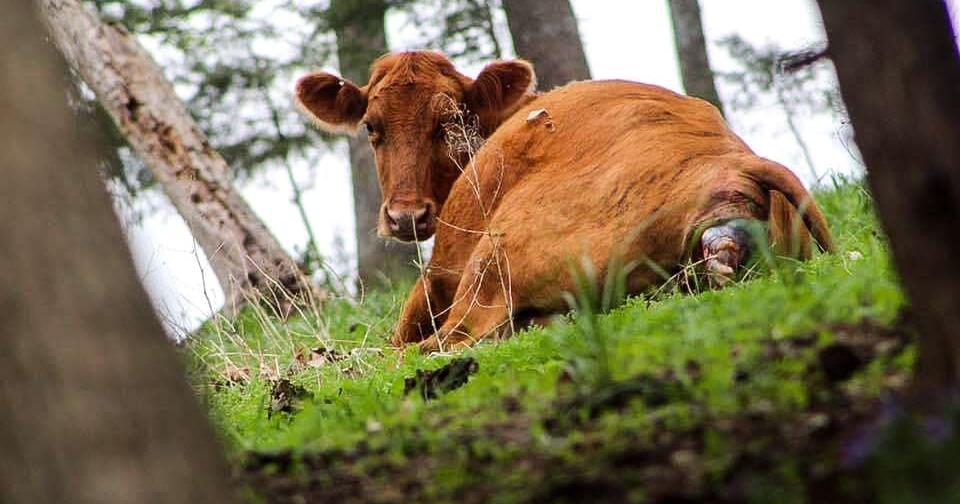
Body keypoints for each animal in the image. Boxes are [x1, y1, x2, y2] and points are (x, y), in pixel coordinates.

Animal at [295, 51, 834, 353]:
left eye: (448, 122)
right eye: (372, 126)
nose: (405, 216)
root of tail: (736, 163)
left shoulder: (438, 275)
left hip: (490, 264)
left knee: (436, 344)